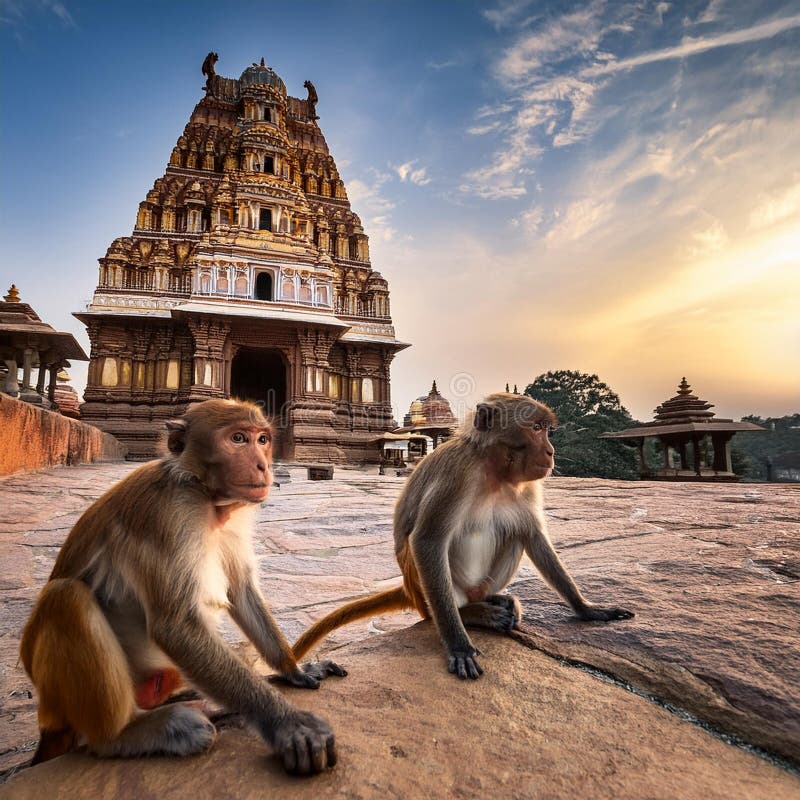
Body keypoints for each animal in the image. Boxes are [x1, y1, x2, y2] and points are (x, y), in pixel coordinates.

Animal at [20, 399, 343, 774]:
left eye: (262, 439)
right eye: (237, 439)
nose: (264, 465)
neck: (204, 495)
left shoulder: (231, 520)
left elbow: (241, 591)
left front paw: (293, 669)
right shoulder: (170, 513)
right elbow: (175, 625)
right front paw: (286, 723)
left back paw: (200, 702)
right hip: (62, 702)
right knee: (66, 597)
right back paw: (130, 733)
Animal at [293, 392, 634, 680]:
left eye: (547, 429)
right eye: (536, 428)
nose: (551, 451)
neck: (494, 472)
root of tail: (410, 591)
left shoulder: (526, 485)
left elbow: (534, 536)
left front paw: (588, 609)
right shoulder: (458, 474)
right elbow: (428, 541)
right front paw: (459, 645)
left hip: (480, 582)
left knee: (514, 532)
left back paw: (492, 601)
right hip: (428, 589)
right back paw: (472, 614)